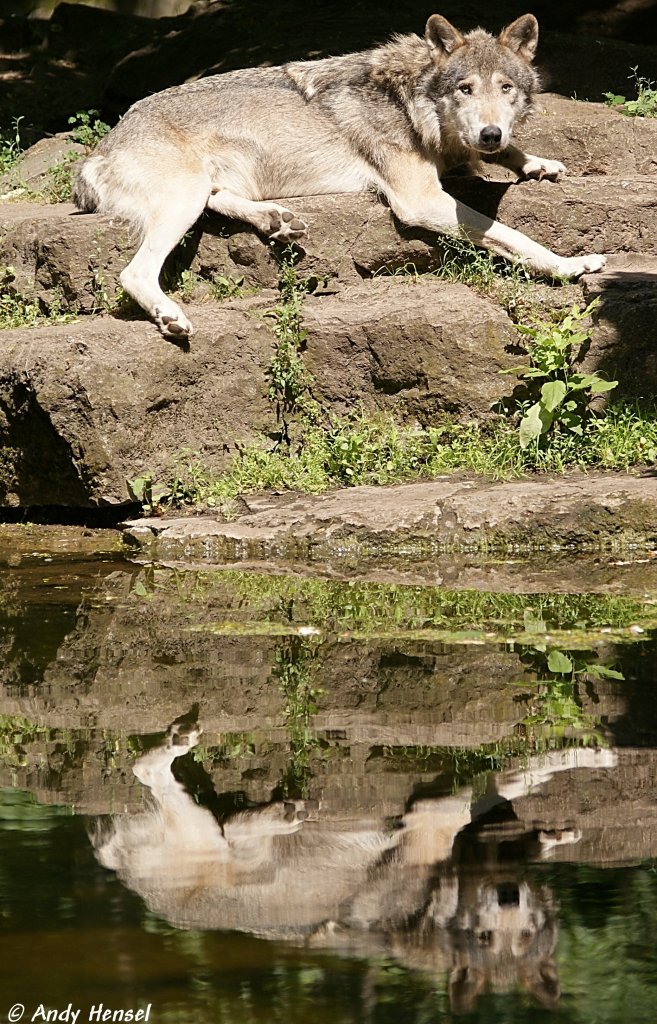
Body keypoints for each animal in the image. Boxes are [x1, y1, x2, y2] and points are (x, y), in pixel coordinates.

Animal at [74, 13, 606, 338]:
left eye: (506, 88)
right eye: (465, 89)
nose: (490, 132)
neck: (411, 102)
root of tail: (100, 149)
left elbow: (508, 158)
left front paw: (538, 164)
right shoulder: (420, 199)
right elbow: (511, 234)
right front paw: (569, 264)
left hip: (203, 189)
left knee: (220, 201)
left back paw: (277, 221)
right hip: (182, 197)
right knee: (135, 272)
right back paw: (172, 315)